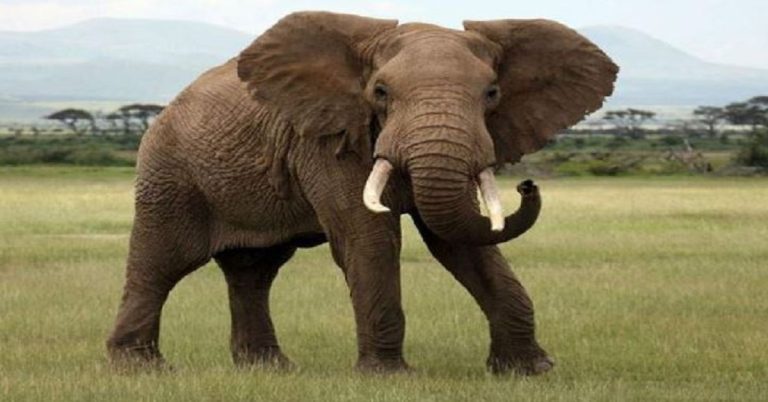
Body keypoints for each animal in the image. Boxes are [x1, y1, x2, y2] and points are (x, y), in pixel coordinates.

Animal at [106, 11, 617, 375]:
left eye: (491, 93)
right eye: (381, 92)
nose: (528, 184)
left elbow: (460, 242)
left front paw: (531, 371)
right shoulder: (328, 140)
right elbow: (369, 239)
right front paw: (389, 376)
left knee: (254, 271)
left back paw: (271, 370)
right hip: (169, 173)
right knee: (162, 262)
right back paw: (141, 369)